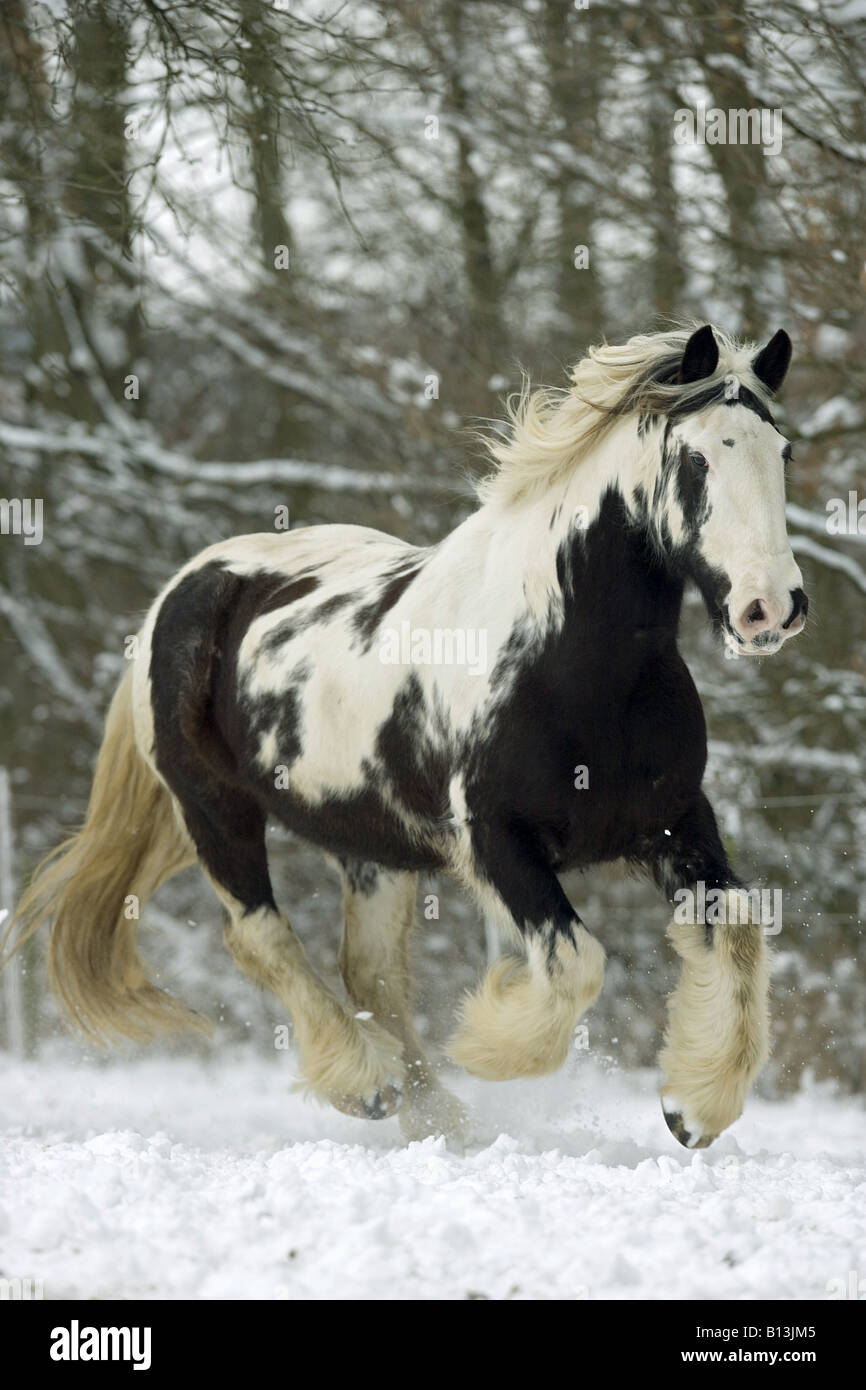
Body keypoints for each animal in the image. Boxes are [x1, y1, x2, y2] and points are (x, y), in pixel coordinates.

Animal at [7, 323, 808, 1148]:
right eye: (698, 458)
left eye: (782, 452)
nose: (770, 609)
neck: (576, 665)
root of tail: (183, 588)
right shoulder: (493, 838)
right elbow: (577, 961)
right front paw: (489, 1045)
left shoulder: (673, 820)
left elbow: (737, 924)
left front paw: (695, 1105)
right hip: (214, 812)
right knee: (262, 936)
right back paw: (370, 1084)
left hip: (373, 848)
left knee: (371, 971)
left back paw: (438, 1118)